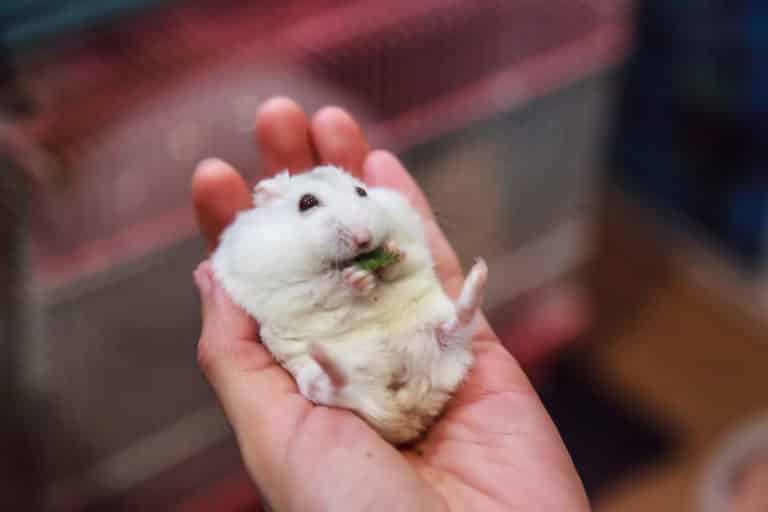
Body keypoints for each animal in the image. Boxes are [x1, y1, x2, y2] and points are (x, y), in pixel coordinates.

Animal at [211, 164, 488, 444]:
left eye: (361, 191)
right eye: (306, 202)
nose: (363, 239)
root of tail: (405, 408)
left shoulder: (411, 240)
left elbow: (402, 261)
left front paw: (391, 253)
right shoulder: (287, 285)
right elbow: (325, 288)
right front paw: (358, 279)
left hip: (438, 334)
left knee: (457, 322)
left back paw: (478, 273)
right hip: (319, 382)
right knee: (331, 386)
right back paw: (323, 356)